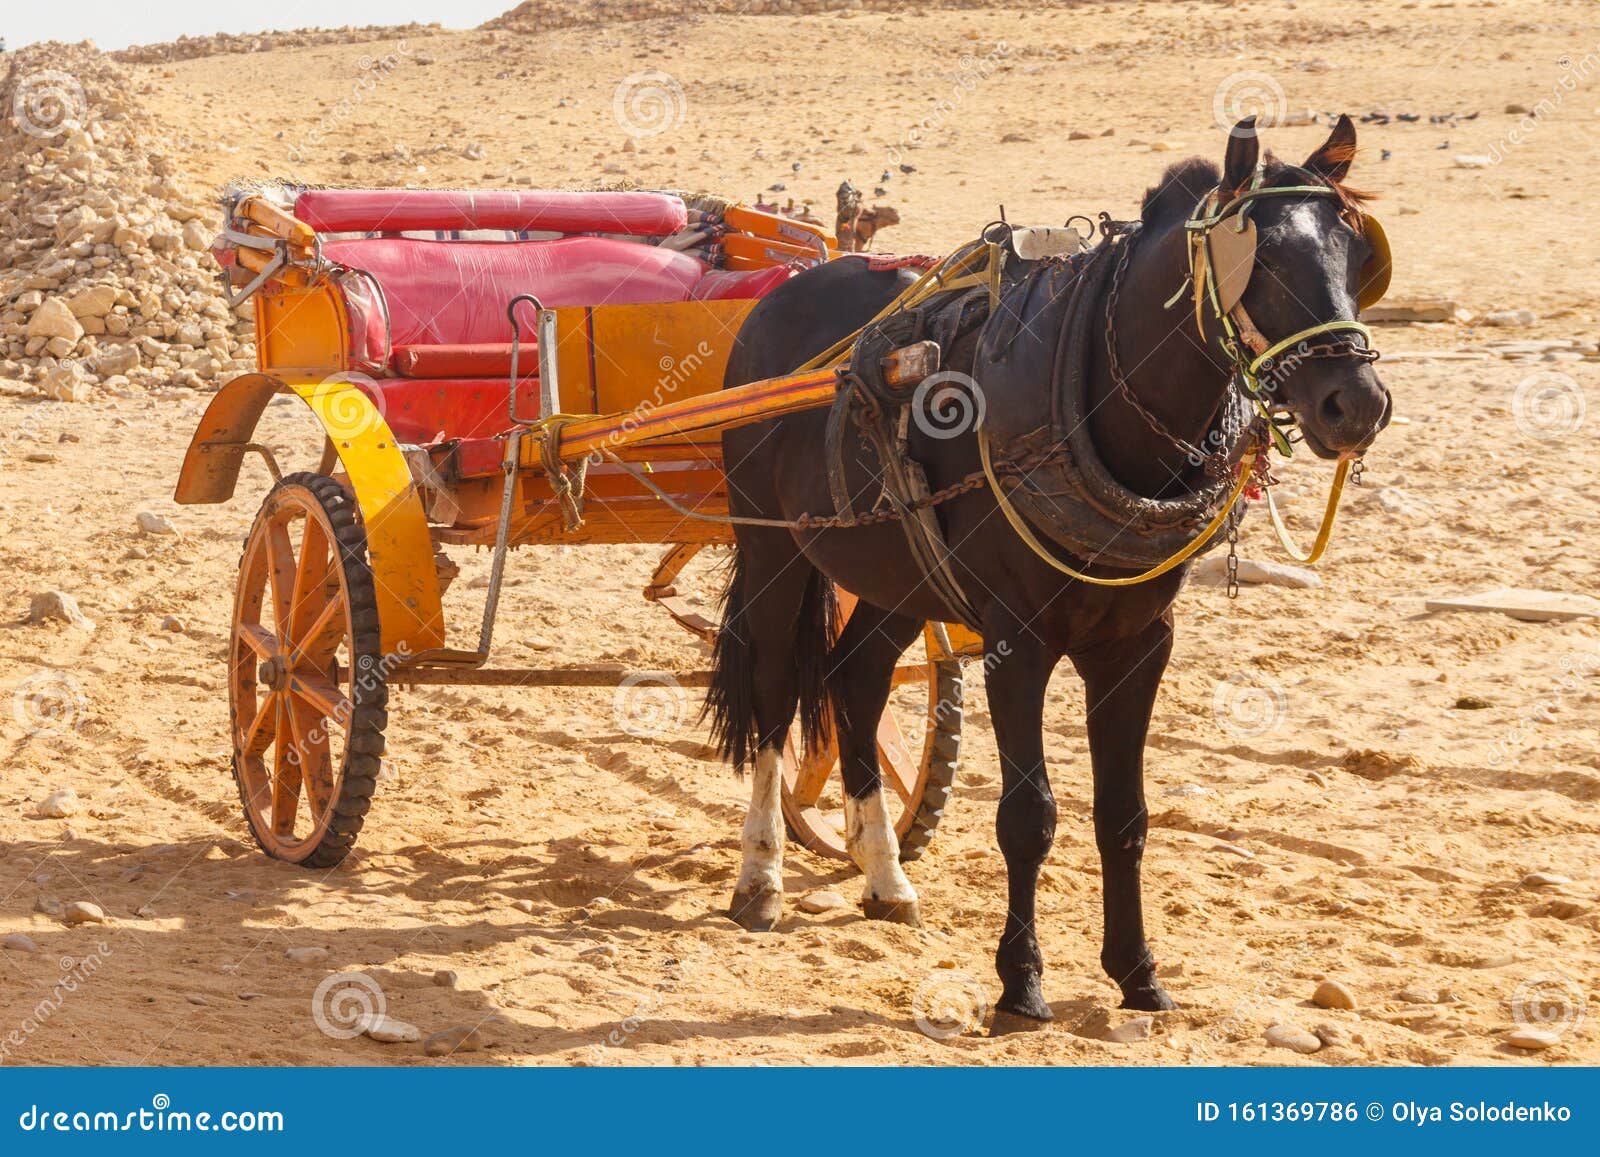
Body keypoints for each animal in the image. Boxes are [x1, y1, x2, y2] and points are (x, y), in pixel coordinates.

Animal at [706, 115, 1391, 1023]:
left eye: (1357, 252)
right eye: (1265, 255)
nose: (1357, 403)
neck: (1093, 394)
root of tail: (781, 295)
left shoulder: (1139, 643)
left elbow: (1124, 813)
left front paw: (1137, 971)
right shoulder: (1017, 643)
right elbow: (1027, 814)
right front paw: (1021, 980)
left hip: (900, 570)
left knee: (856, 678)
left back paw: (884, 872)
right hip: (773, 549)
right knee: (778, 691)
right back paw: (761, 874)